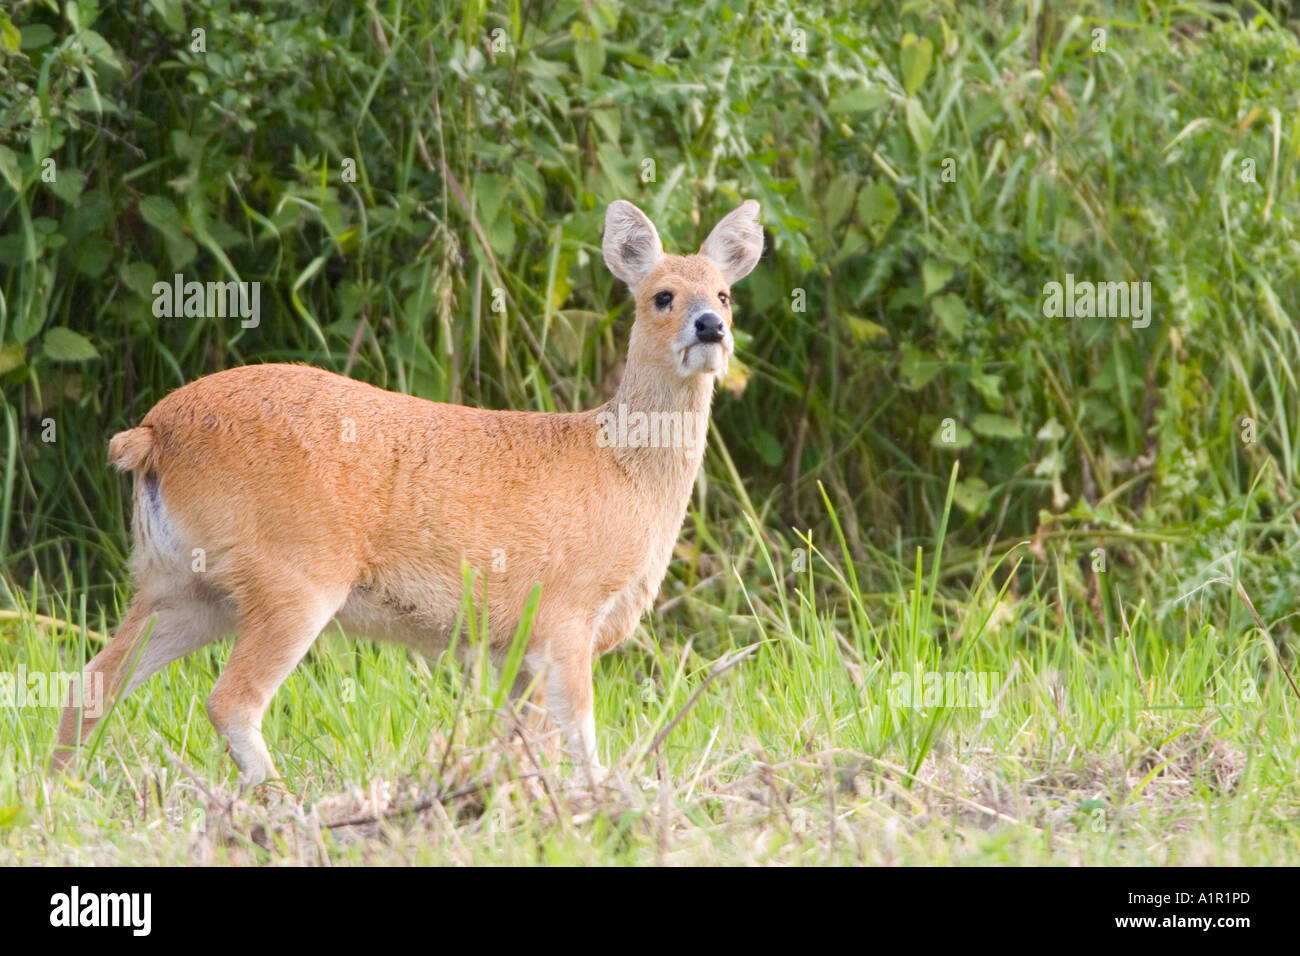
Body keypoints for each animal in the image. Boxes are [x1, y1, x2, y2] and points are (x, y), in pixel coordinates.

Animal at [52, 199, 763, 788]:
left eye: (725, 295)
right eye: (662, 295)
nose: (709, 327)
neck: (623, 469)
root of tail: (150, 436)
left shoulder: (519, 648)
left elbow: (519, 742)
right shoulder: (564, 611)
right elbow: (578, 737)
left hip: (182, 587)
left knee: (91, 682)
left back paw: (57, 793)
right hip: (294, 576)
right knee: (229, 700)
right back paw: (282, 804)